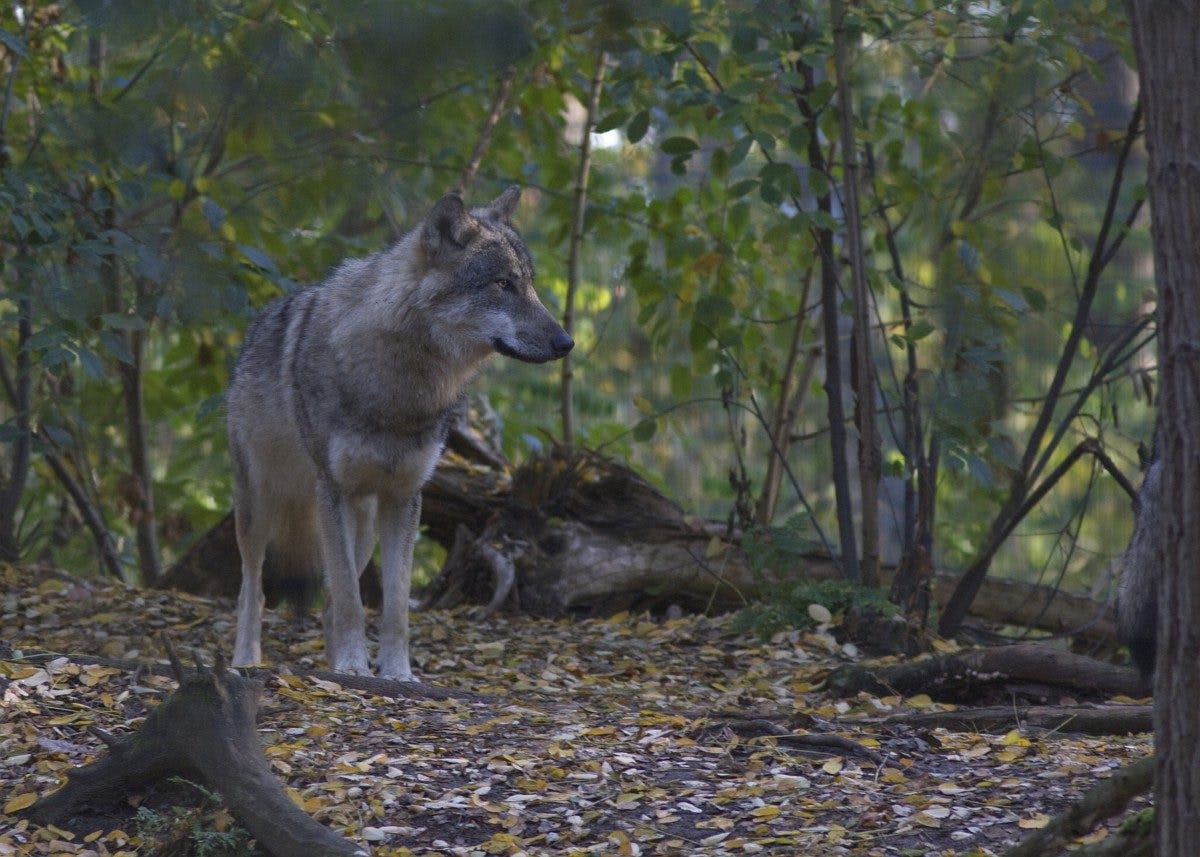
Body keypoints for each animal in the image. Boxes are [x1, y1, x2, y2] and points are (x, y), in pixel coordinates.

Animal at [227, 187, 572, 679]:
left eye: (529, 284)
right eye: (503, 285)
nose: (567, 342)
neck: (402, 386)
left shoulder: (405, 498)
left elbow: (392, 607)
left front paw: (394, 673)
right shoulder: (333, 490)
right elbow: (352, 602)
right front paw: (354, 668)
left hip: (363, 523)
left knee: (331, 601)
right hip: (261, 509)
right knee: (253, 588)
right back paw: (247, 660)